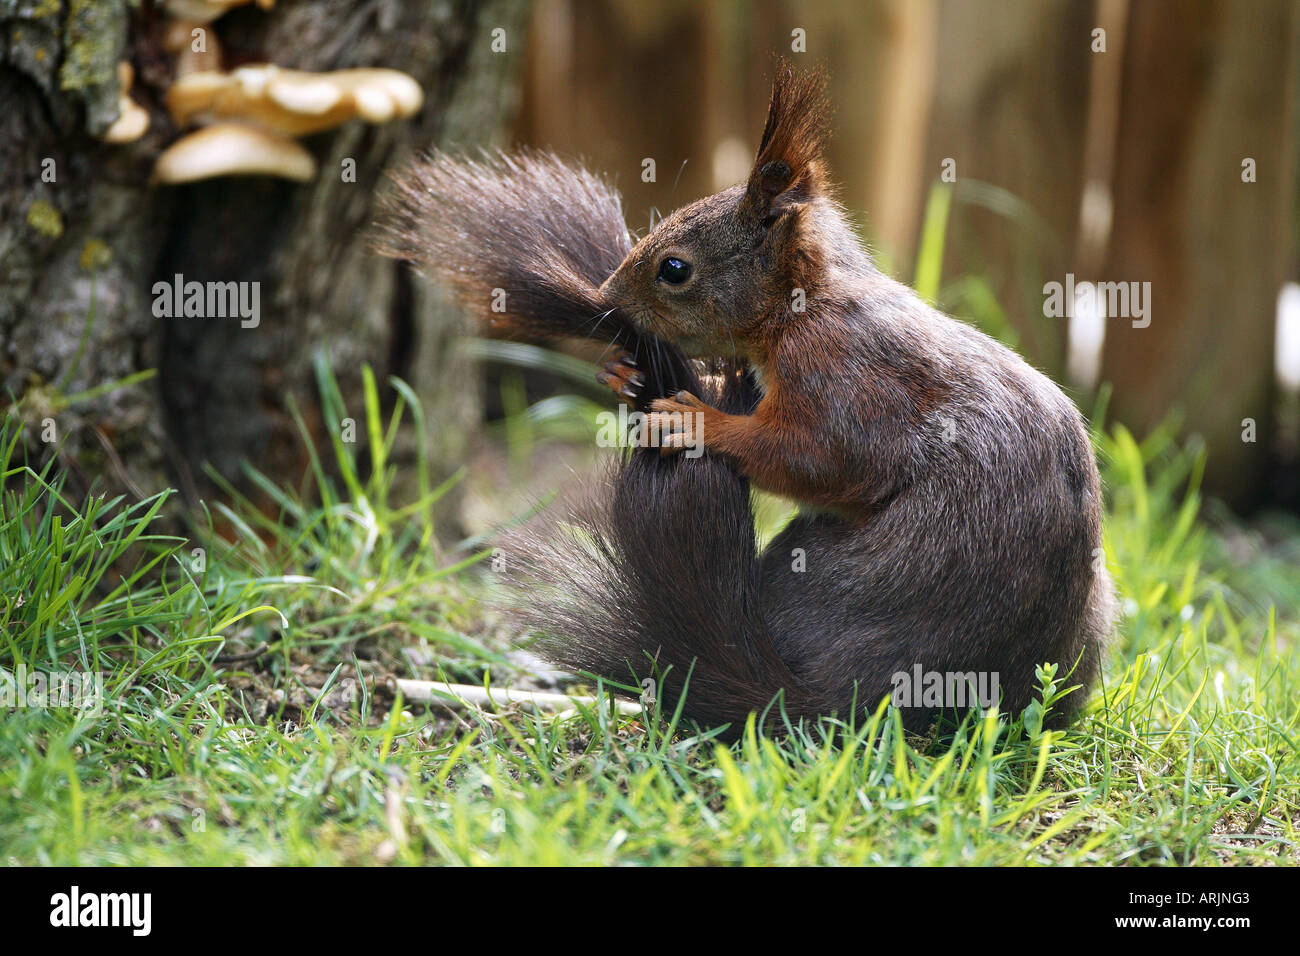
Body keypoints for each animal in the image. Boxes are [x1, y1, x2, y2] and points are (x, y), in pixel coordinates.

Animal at [375, 60, 1117, 737]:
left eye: (675, 269)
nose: (606, 300)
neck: (808, 304)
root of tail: (837, 701)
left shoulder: (844, 376)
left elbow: (823, 458)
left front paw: (696, 419)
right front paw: (632, 375)